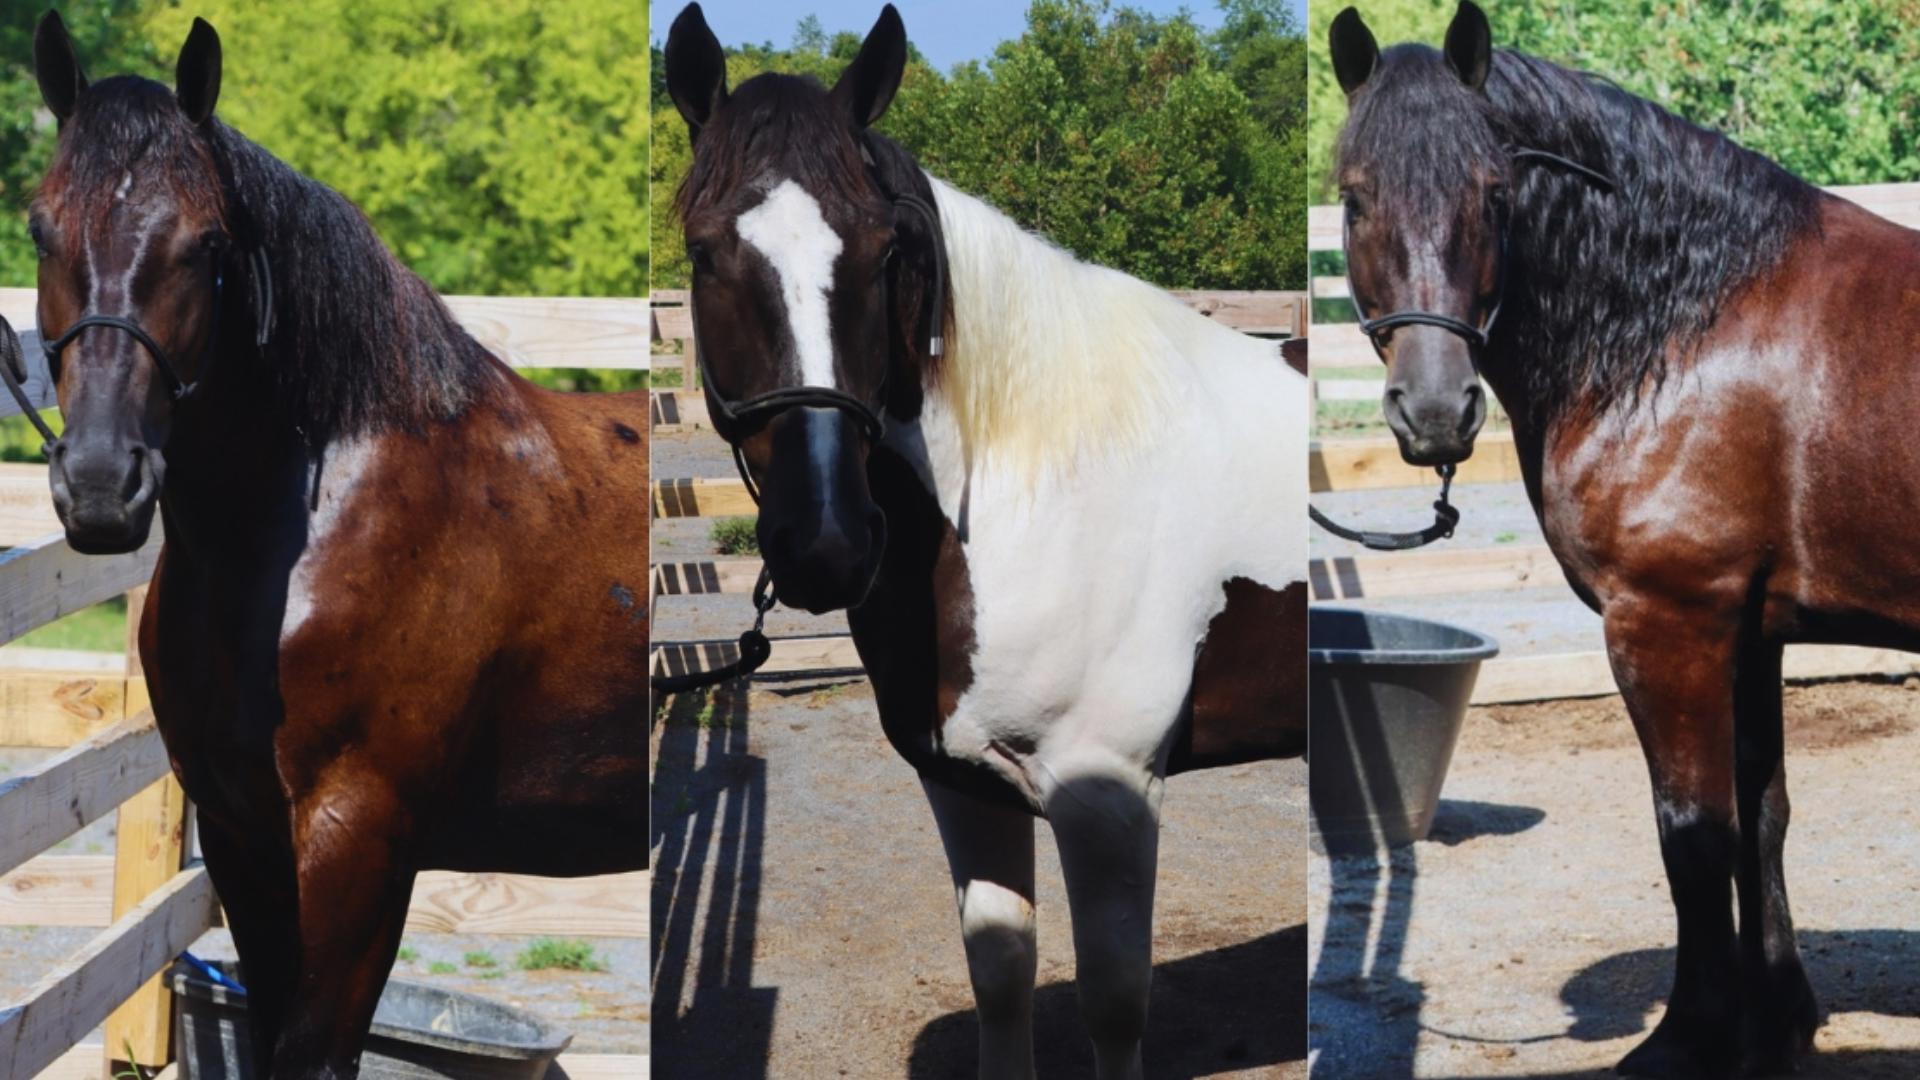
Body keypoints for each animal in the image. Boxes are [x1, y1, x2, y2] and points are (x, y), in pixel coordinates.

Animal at [662, 5, 1307, 1077]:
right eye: (706, 251)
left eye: (883, 252)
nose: (829, 541)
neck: (1031, 488)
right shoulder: (966, 783)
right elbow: (1001, 976)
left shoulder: (1108, 796)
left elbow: (1114, 1005)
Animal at [1327, 2, 1920, 1074]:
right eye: (1354, 199)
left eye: (1493, 192)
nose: (1434, 411)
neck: (1690, 328)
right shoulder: (1748, 629)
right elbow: (1761, 814)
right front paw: (1776, 1017)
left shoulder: (1668, 622)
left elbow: (1694, 833)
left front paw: (1686, 1035)